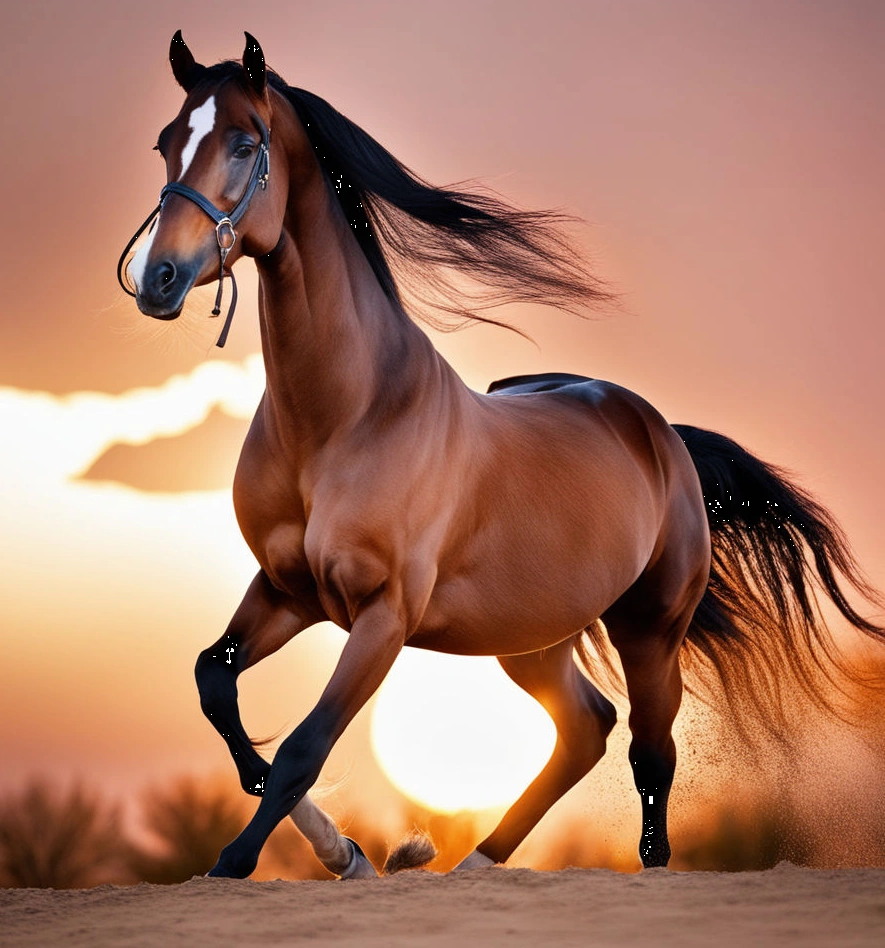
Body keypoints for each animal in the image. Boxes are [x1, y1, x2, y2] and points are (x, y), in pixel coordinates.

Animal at [119, 32, 885, 879]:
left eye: (244, 142)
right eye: (166, 141)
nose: (157, 279)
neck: (343, 419)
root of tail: (658, 430)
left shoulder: (381, 614)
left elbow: (301, 747)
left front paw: (259, 860)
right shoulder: (289, 591)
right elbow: (215, 685)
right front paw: (345, 849)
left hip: (647, 628)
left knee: (650, 753)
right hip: (530, 636)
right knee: (585, 725)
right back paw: (469, 865)